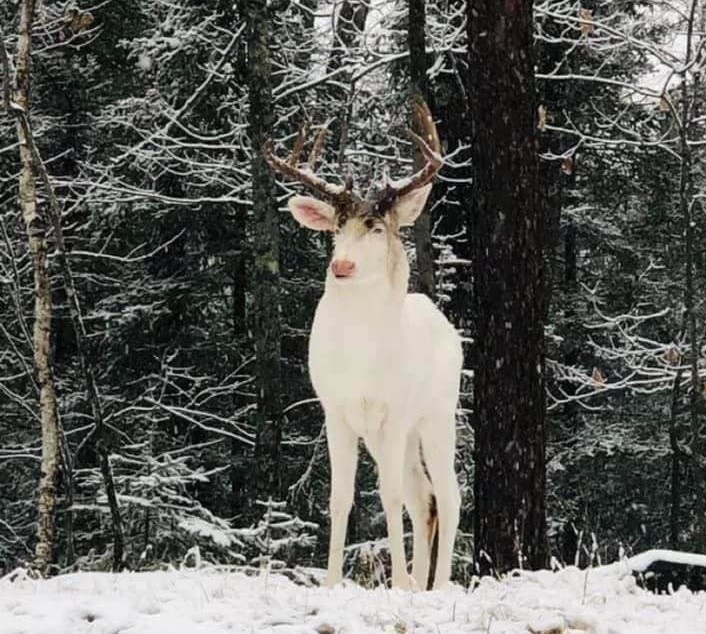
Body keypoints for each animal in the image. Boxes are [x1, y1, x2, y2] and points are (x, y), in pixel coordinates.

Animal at [264, 101, 462, 591]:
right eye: (337, 227)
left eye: (375, 228)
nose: (342, 265)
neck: (360, 362)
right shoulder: (337, 411)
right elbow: (341, 498)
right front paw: (333, 582)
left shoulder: (394, 410)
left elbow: (387, 496)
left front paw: (397, 584)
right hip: (394, 433)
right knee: (423, 497)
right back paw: (419, 584)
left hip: (437, 413)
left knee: (448, 495)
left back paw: (436, 584)